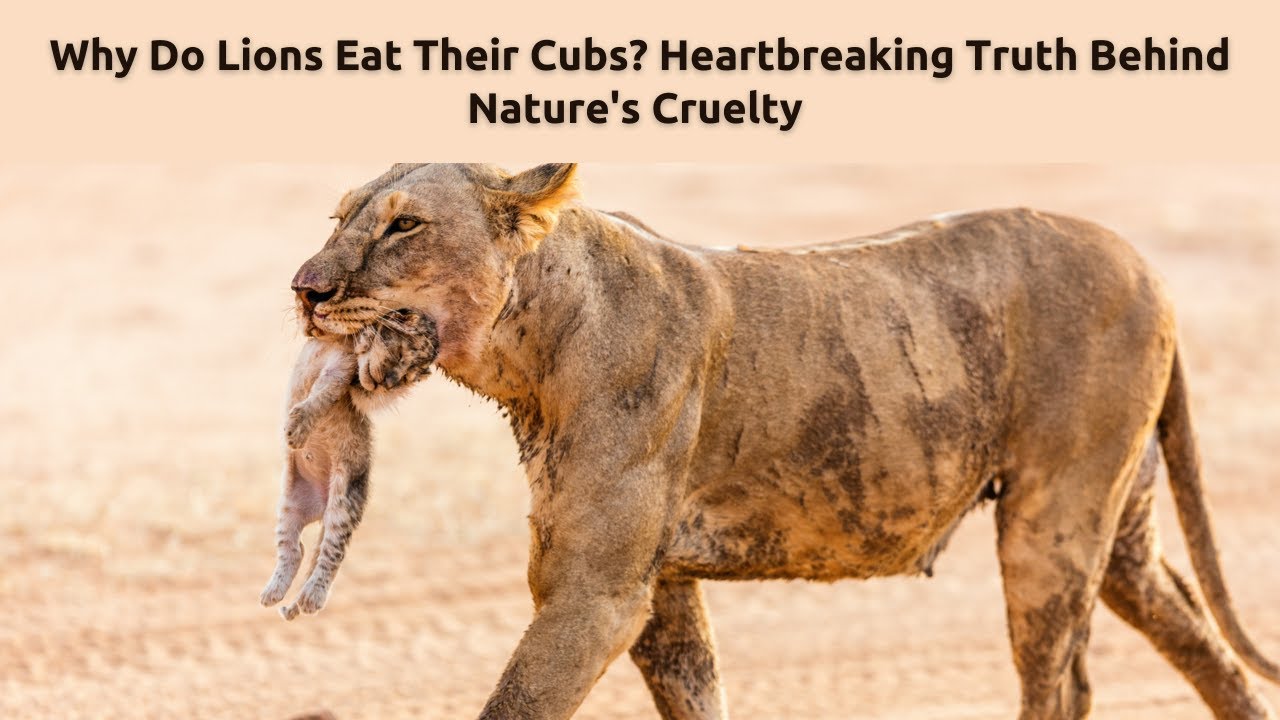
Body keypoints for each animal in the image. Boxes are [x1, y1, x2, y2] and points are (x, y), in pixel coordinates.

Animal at [286, 163, 1279, 719]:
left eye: (404, 224)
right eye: (338, 216)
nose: (305, 288)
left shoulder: (594, 595)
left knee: (1062, 684)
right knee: (1204, 644)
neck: (534, 347)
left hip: (1052, 521)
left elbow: (515, 705)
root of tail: (1146, 262)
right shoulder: (661, 589)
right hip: (1122, 531)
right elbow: (699, 698)